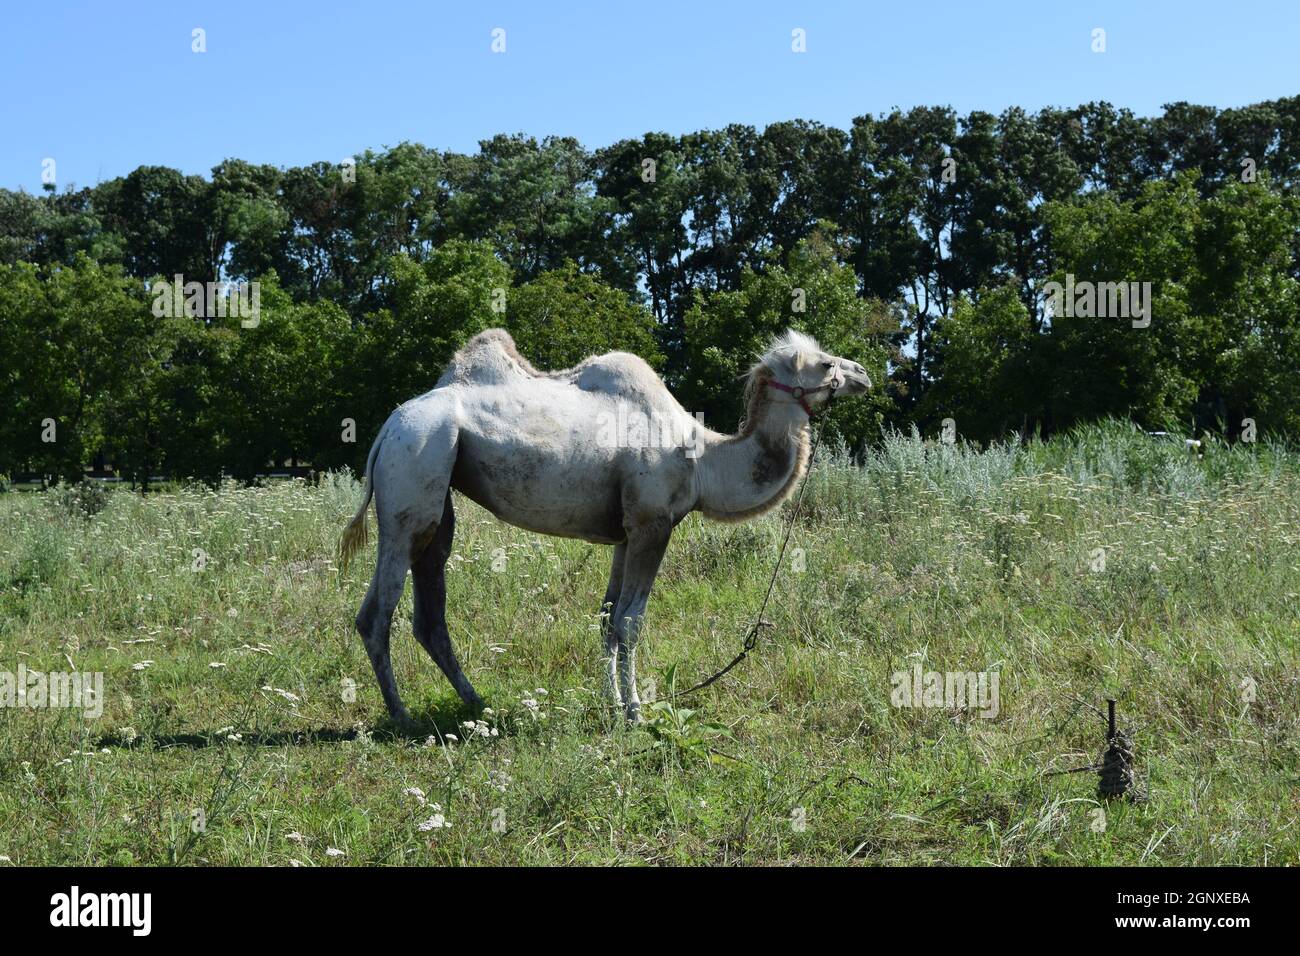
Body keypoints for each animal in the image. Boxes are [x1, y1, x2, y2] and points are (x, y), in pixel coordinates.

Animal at [339, 327, 872, 726]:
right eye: (826, 365)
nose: (865, 374)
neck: (704, 460)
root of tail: (388, 427)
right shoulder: (654, 523)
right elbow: (631, 621)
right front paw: (635, 711)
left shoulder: (624, 535)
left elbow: (607, 619)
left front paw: (610, 704)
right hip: (415, 466)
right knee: (377, 611)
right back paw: (402, 716)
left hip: (439, 486)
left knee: (430, 606)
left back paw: (476, 702)